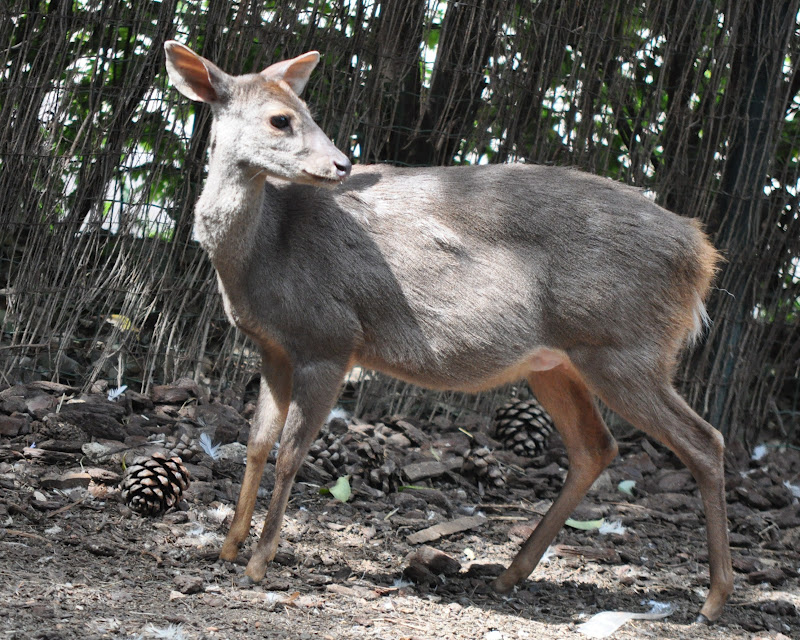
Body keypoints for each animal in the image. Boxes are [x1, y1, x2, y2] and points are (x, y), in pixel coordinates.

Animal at [163, 40, 733, 623]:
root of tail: (701, 254)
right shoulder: (273, 348)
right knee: (595, 446)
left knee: (703, 440)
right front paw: (229, 548)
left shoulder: (331, 338)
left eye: (308, 111)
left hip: (623, 347)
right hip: (559, 362)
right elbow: (257, 444)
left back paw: (714, 599)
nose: (342, 163)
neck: (261, 254)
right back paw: (509, 573)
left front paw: (259, 563)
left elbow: (291, 454)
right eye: (281, 118)